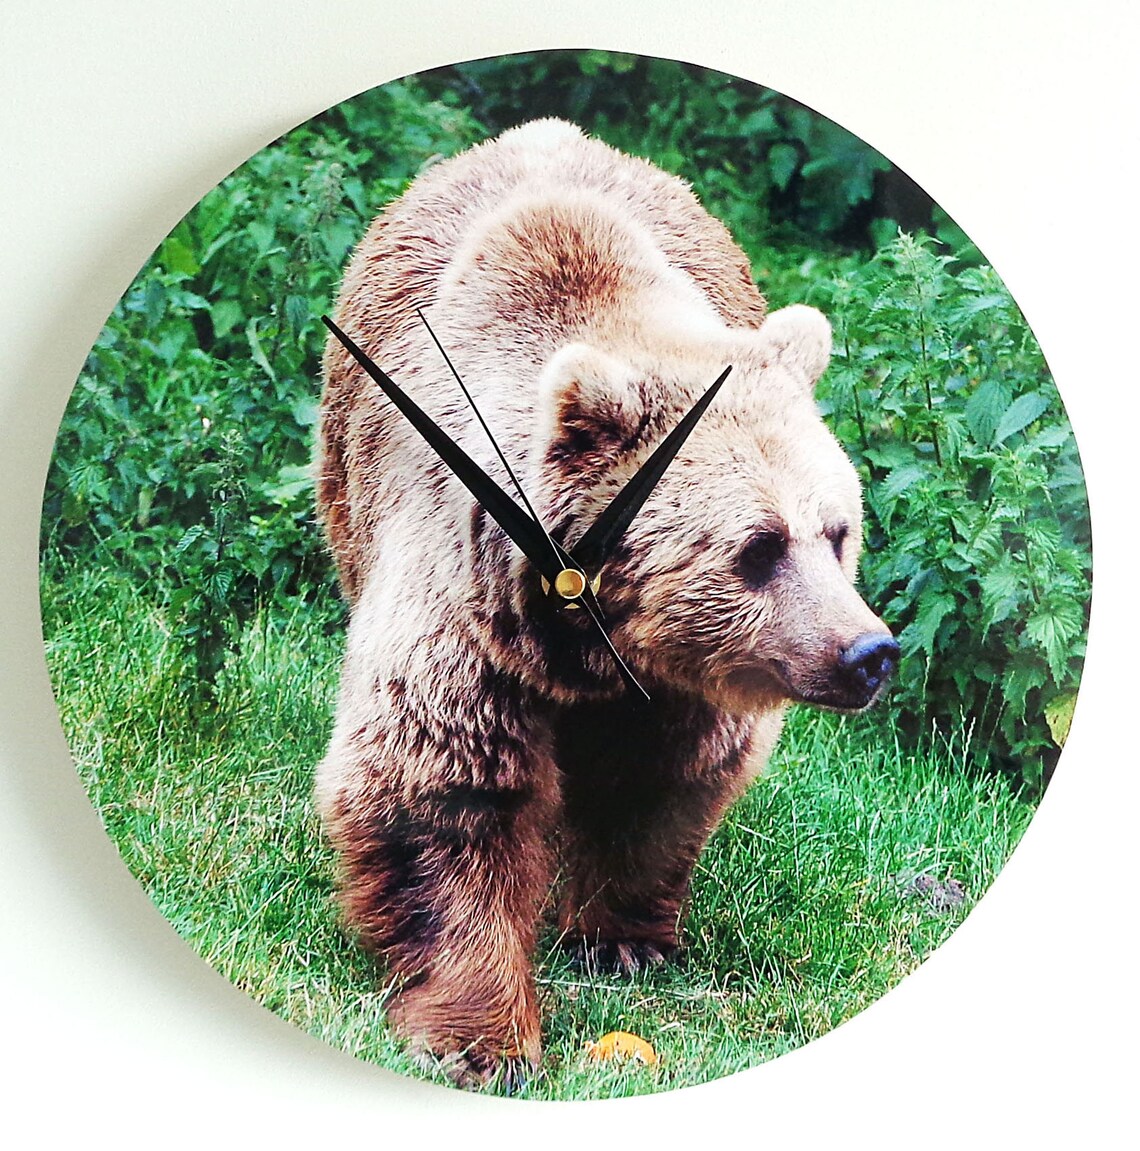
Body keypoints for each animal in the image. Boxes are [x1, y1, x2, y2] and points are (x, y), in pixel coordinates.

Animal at [313, 119, 897, 1089]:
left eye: (838, 530)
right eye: (760, 546)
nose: (868, 651)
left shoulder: (688, 674)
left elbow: (654, 774)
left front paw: (621, 938)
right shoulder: (461, 593)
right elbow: (445, 778)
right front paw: (483, 1035)